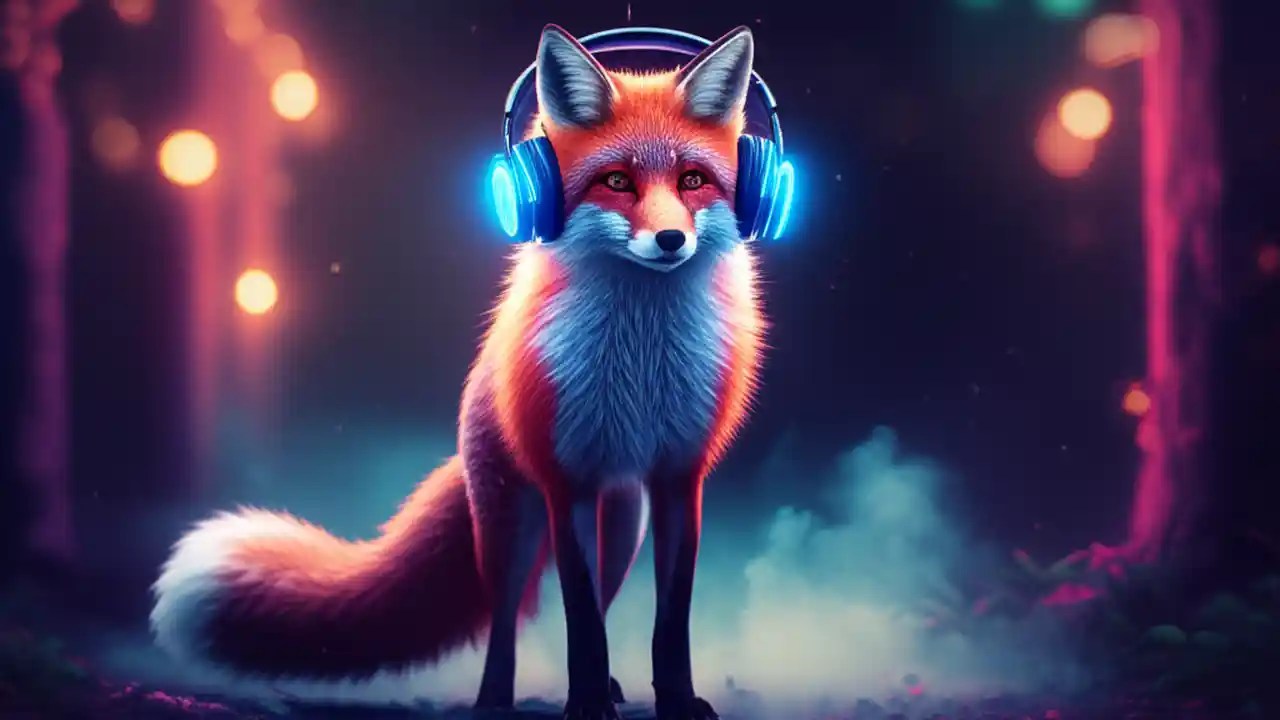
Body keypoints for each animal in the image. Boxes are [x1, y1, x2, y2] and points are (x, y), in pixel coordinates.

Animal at [150, 23, 765, 720]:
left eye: (692, 180)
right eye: (617, 181)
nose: (670, 241)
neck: (640, 356)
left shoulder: (679, 478)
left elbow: (667, 618)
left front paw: (676, 701)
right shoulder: (566, 482)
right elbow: (578, 618)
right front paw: (583, 704)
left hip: (624, 520)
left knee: (603, 601)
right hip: (509, 521)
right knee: (508, 615)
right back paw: (495, 699)